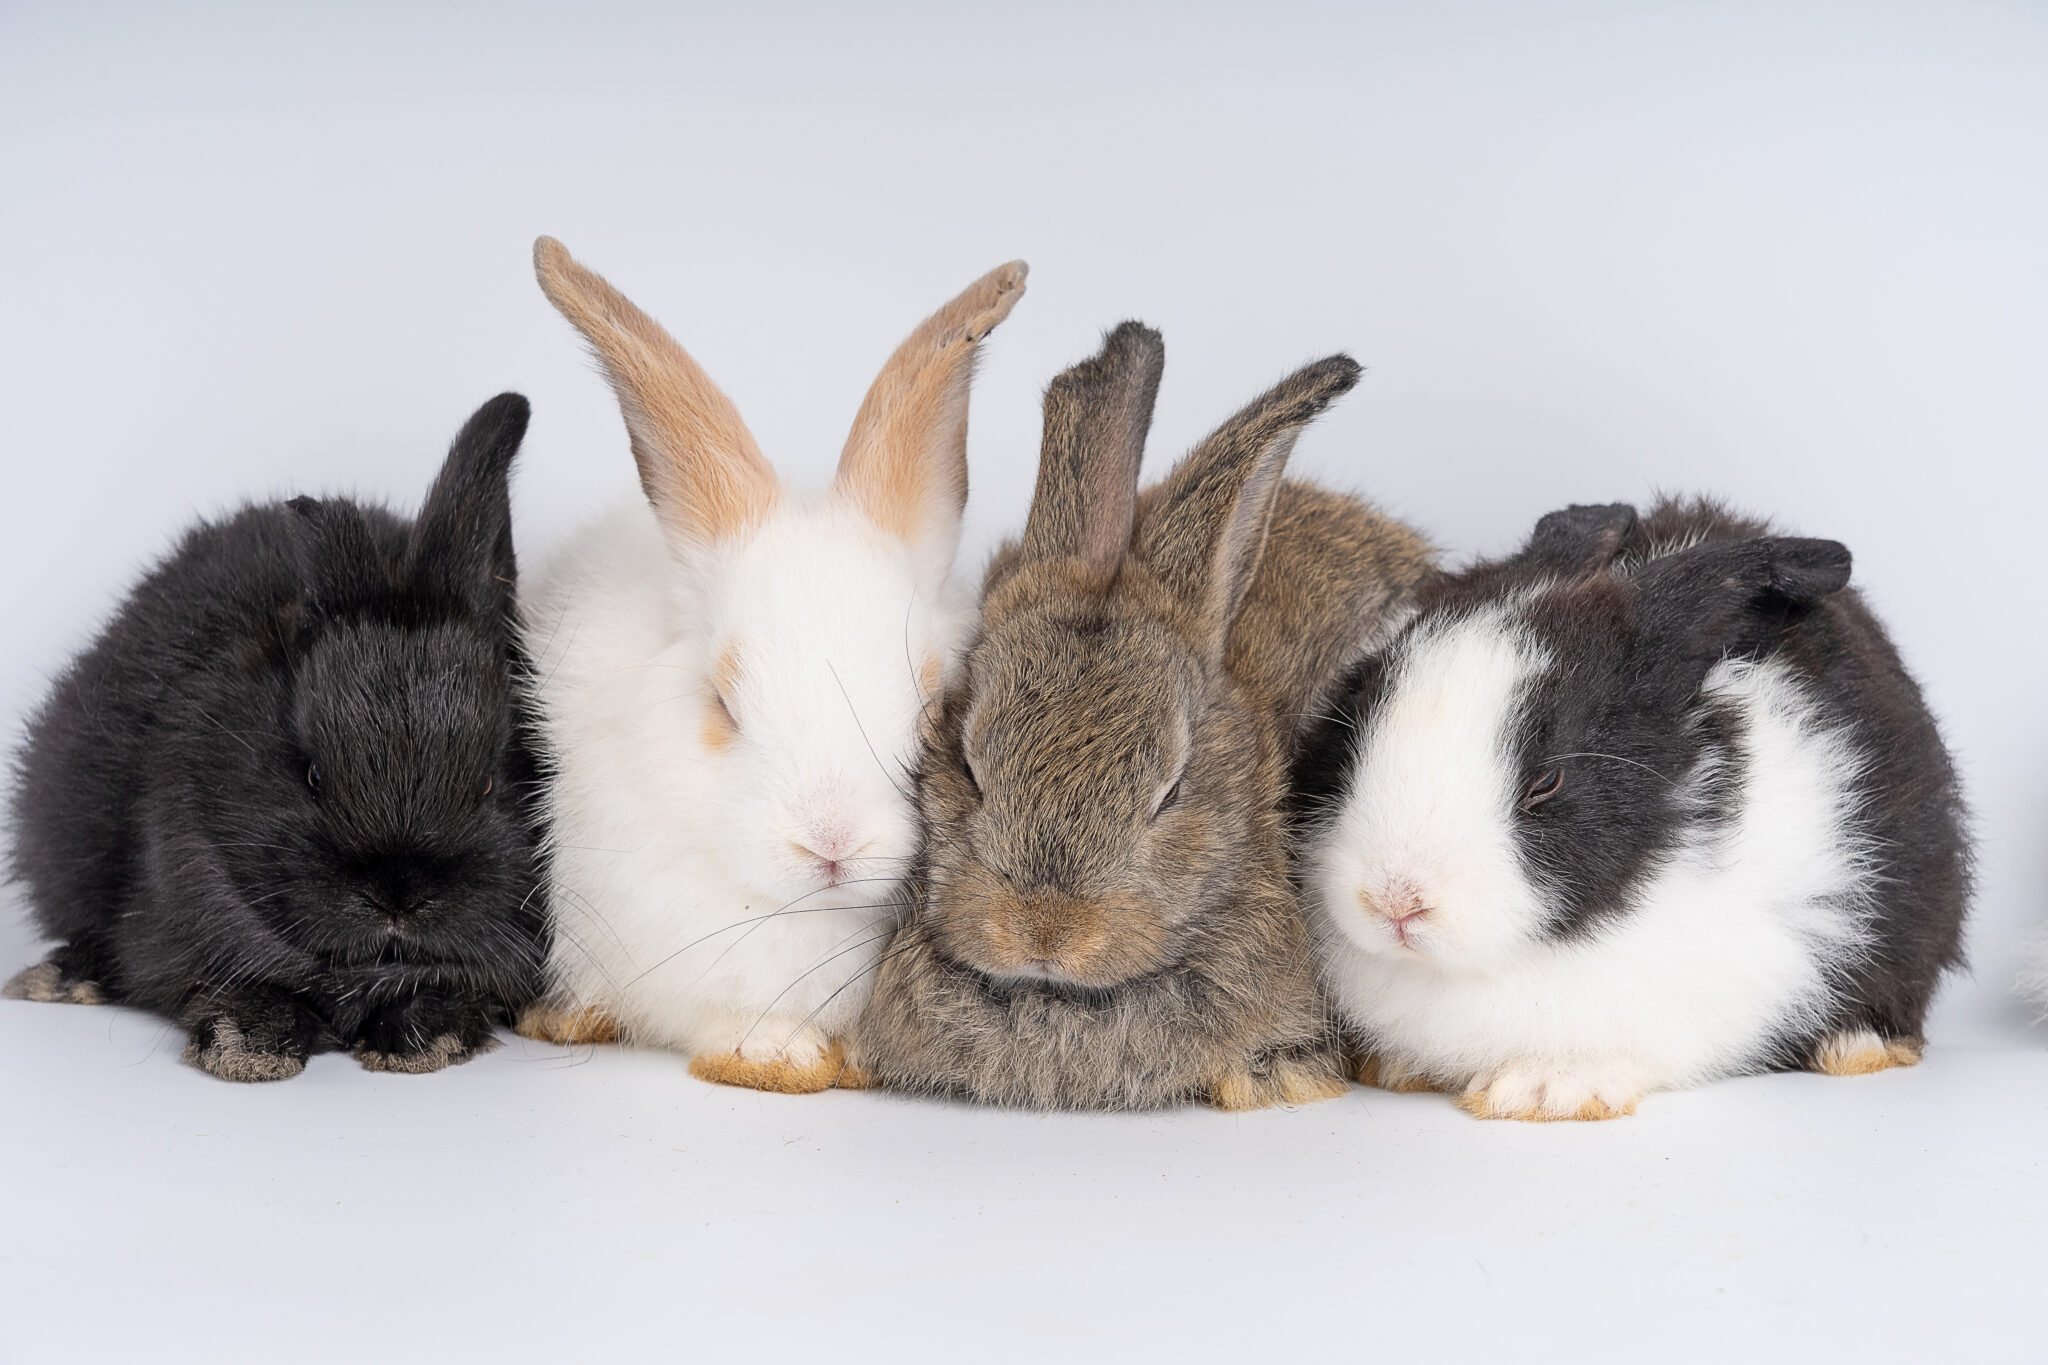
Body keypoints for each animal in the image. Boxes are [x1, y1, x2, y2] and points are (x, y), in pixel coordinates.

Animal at [4, 394, 547, 1081]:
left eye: (489, 783)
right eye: (311, 774)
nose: (397, 898)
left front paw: (423, 1038)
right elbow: (230, 983)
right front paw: (248, 1047)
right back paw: (60, 978)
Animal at [1290, 497, 1972, 1120]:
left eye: (1547, 781)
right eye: (1351, 737)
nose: (1395, 903)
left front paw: (1549, 1092)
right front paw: (1400, 1068)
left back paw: (1854, 1047)